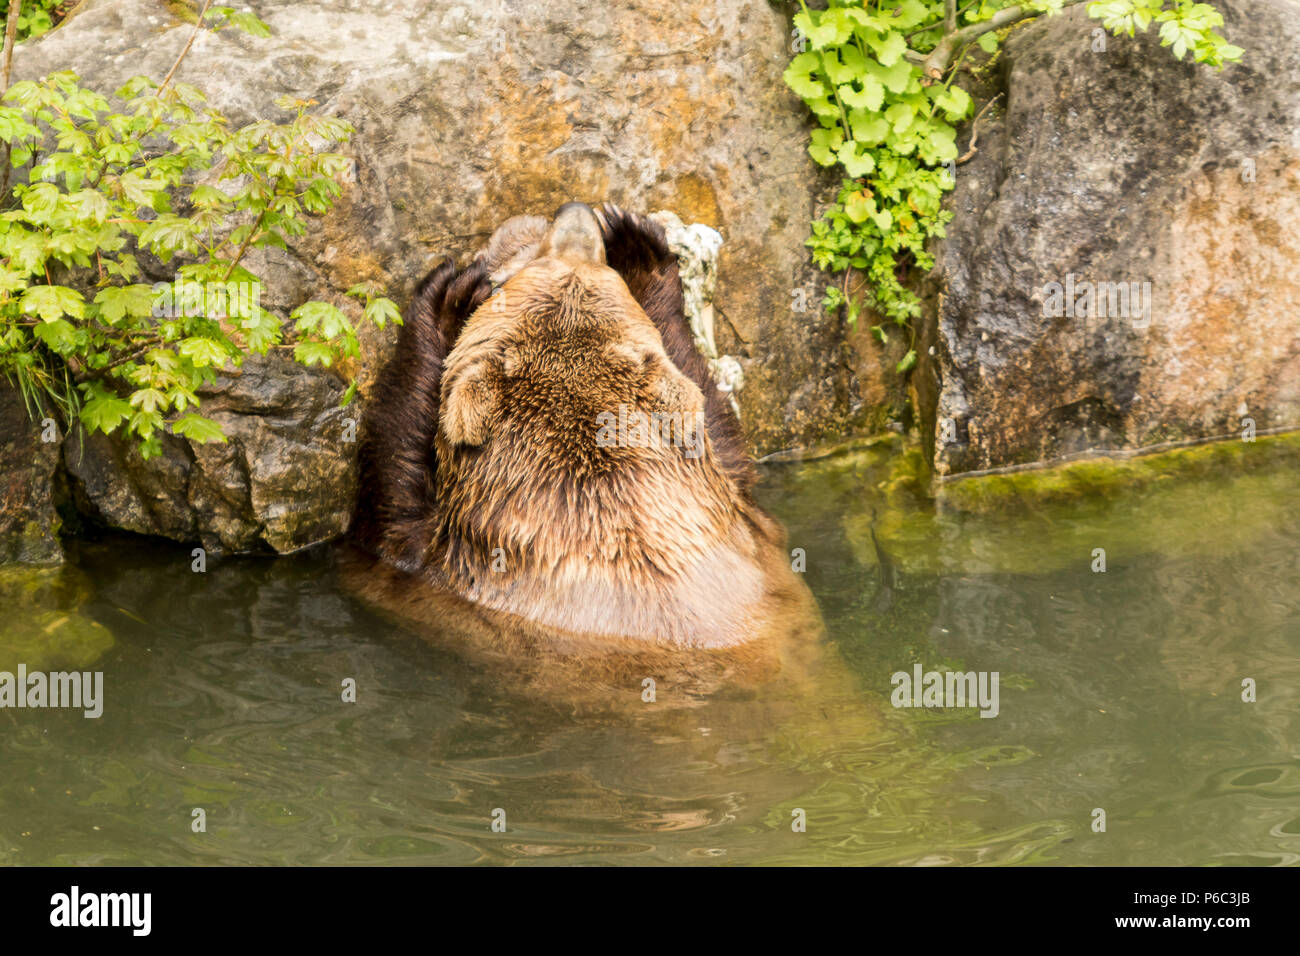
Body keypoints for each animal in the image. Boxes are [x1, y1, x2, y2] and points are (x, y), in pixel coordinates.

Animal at [350, 203, 802, 651]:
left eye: (537, 260)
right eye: (600, 266)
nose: (577, 211)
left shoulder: (440, 566)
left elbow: (390, 491)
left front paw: (449, 294)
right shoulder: (752, 535)